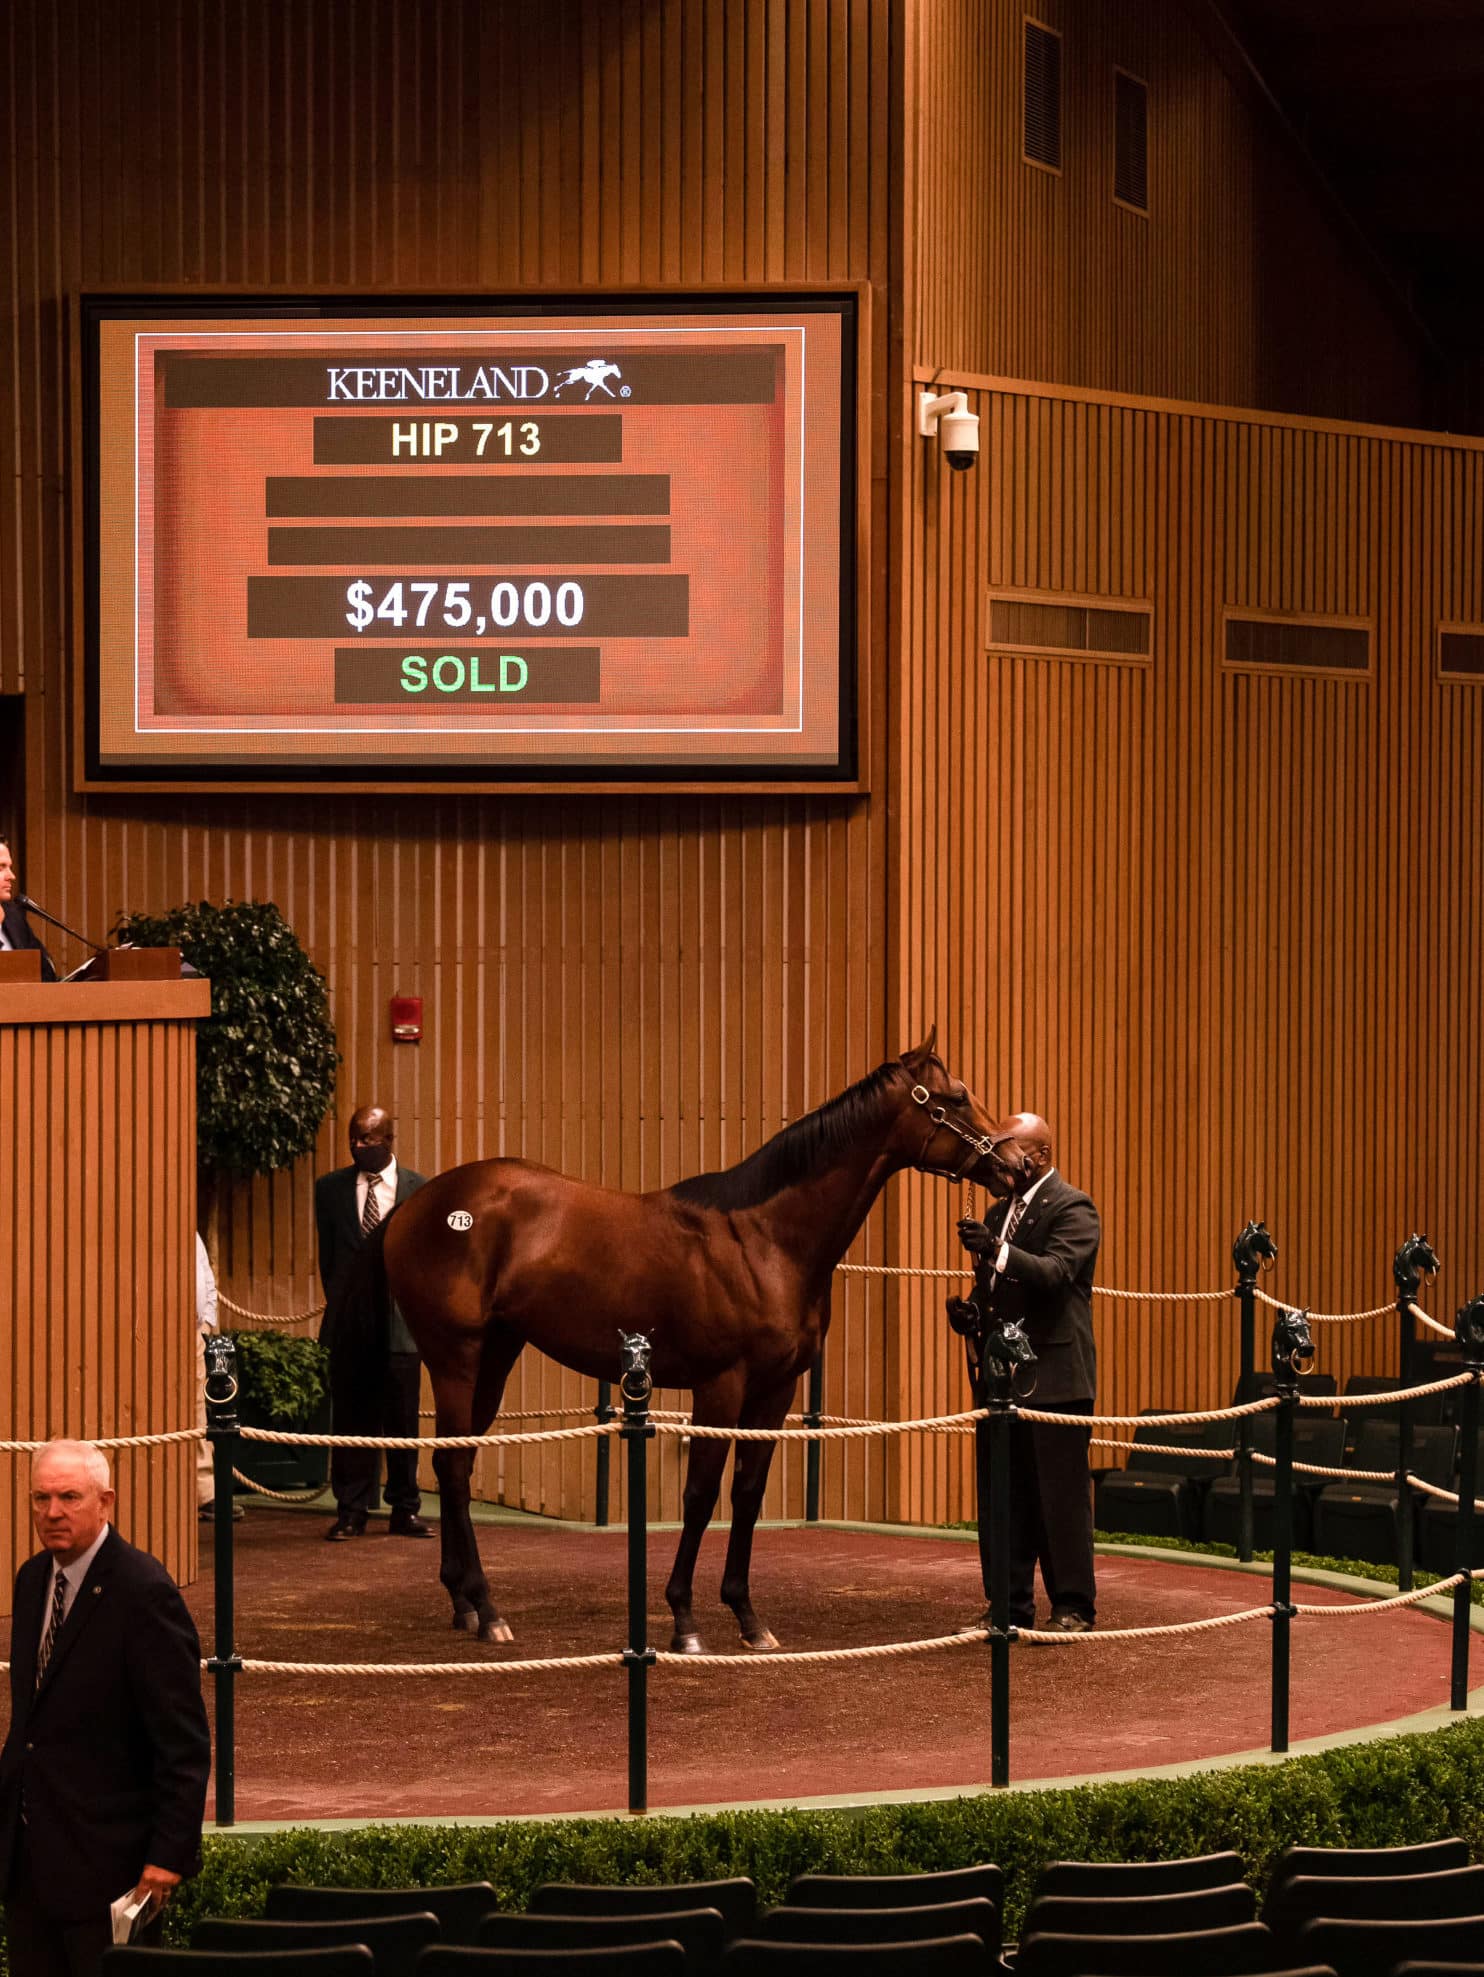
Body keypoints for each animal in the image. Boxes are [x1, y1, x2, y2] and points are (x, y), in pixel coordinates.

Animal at [351, 1033, 1002, 1651]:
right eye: (955, 1098)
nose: (1015, 1161)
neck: (765, 1240)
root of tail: (414, 1207)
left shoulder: (776, 1390)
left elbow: (748, 1493)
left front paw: (747, 1616)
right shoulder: (721, 1386)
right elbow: (702, 1494)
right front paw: (684, 1618)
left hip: (495, 1356)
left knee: (454, 1459)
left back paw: (464, 1603)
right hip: (456, 1357)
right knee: (453, 1468)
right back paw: (487, 1611)